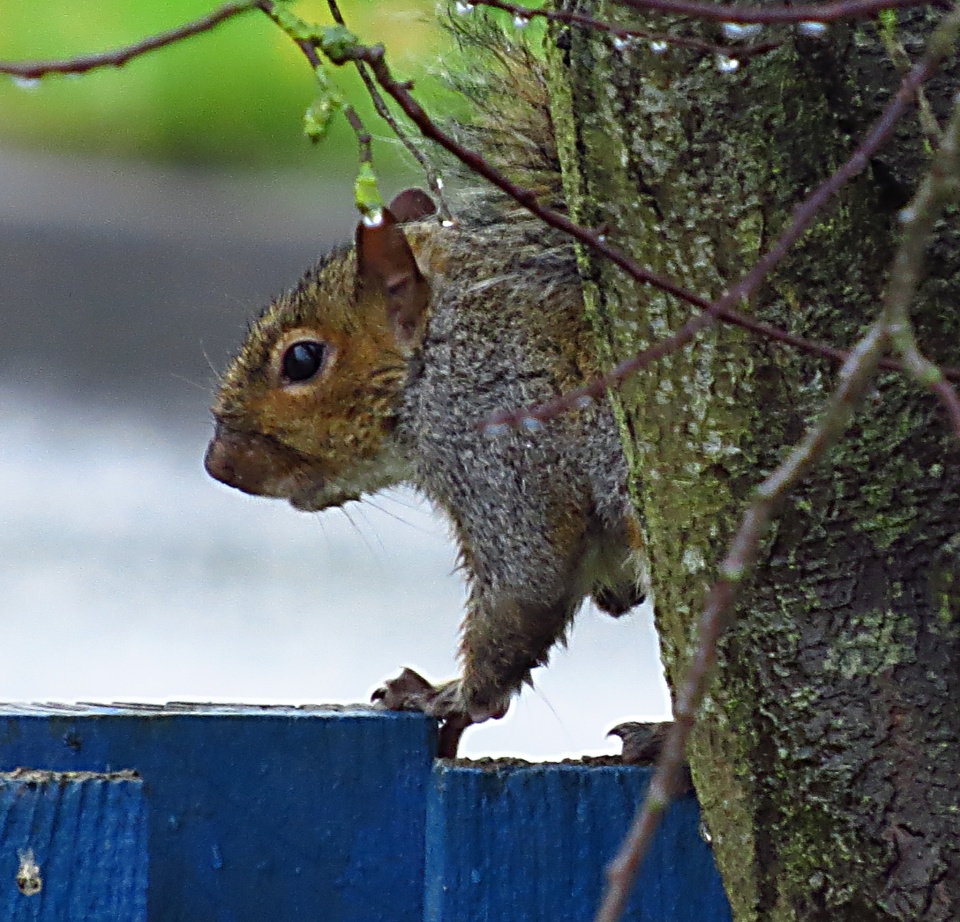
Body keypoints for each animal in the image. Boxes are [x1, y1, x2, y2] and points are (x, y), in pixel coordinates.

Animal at [203, 21, 648, 756]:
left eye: (302, 359)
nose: (219, 465)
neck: (440, 356)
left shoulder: (504, 447)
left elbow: (527, 581)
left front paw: (450, 698)